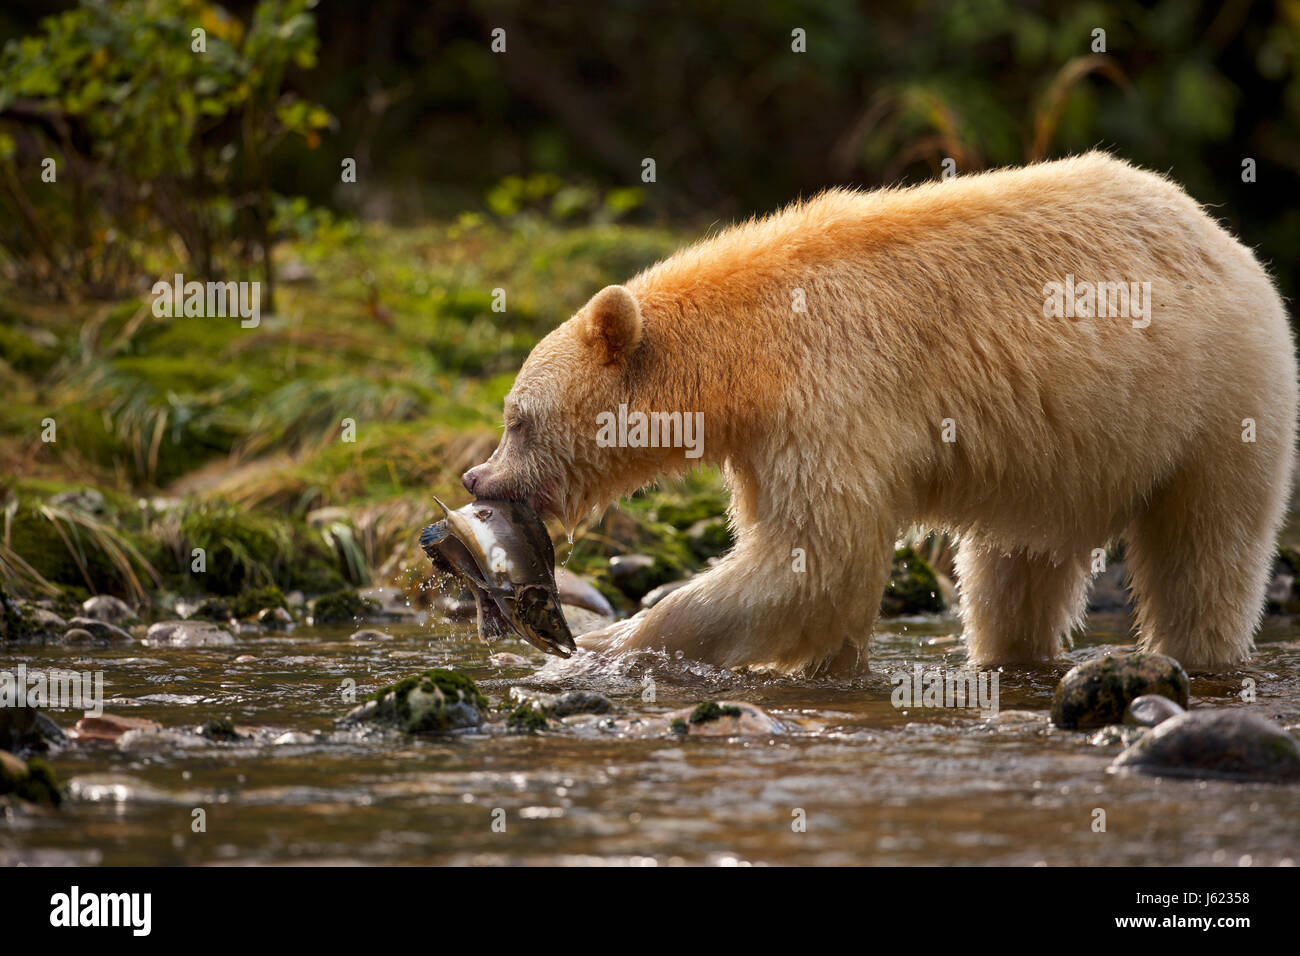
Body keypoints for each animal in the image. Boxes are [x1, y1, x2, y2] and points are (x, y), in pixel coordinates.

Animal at [462, 152, 1298, 675]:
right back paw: (1012, 655)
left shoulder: (829, 394)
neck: (749, 345)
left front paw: (611, 646)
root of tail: (1228, 242)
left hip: (1218, 401)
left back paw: (1200, 653)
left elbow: (815, 558)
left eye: (517, 418)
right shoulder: (767, 435)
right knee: (1015, 568)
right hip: (1062, 454)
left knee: (1206, 552)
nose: (476, 480)